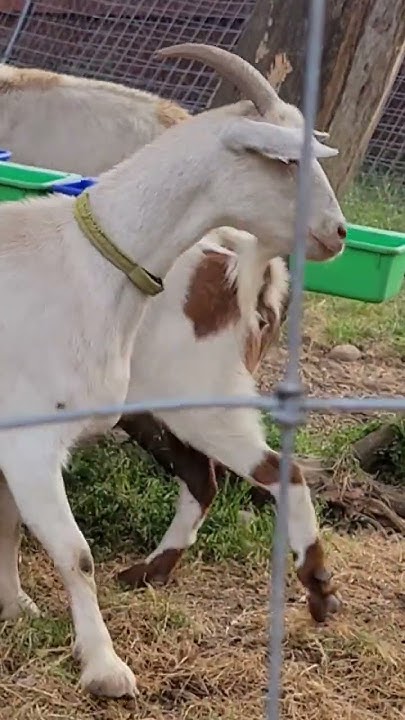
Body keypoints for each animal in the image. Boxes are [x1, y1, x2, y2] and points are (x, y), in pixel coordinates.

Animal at [0, 44, 346, 698]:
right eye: (286, 161)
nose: (337, 234)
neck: (84, 266)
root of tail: (261, 282)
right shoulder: (23, 441)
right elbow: (52, 542)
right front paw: (86, 654)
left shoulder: (25, 442)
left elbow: (60, 546)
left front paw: (92, 659)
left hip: (197, 397)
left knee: (256, 472)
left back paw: (313, 588)